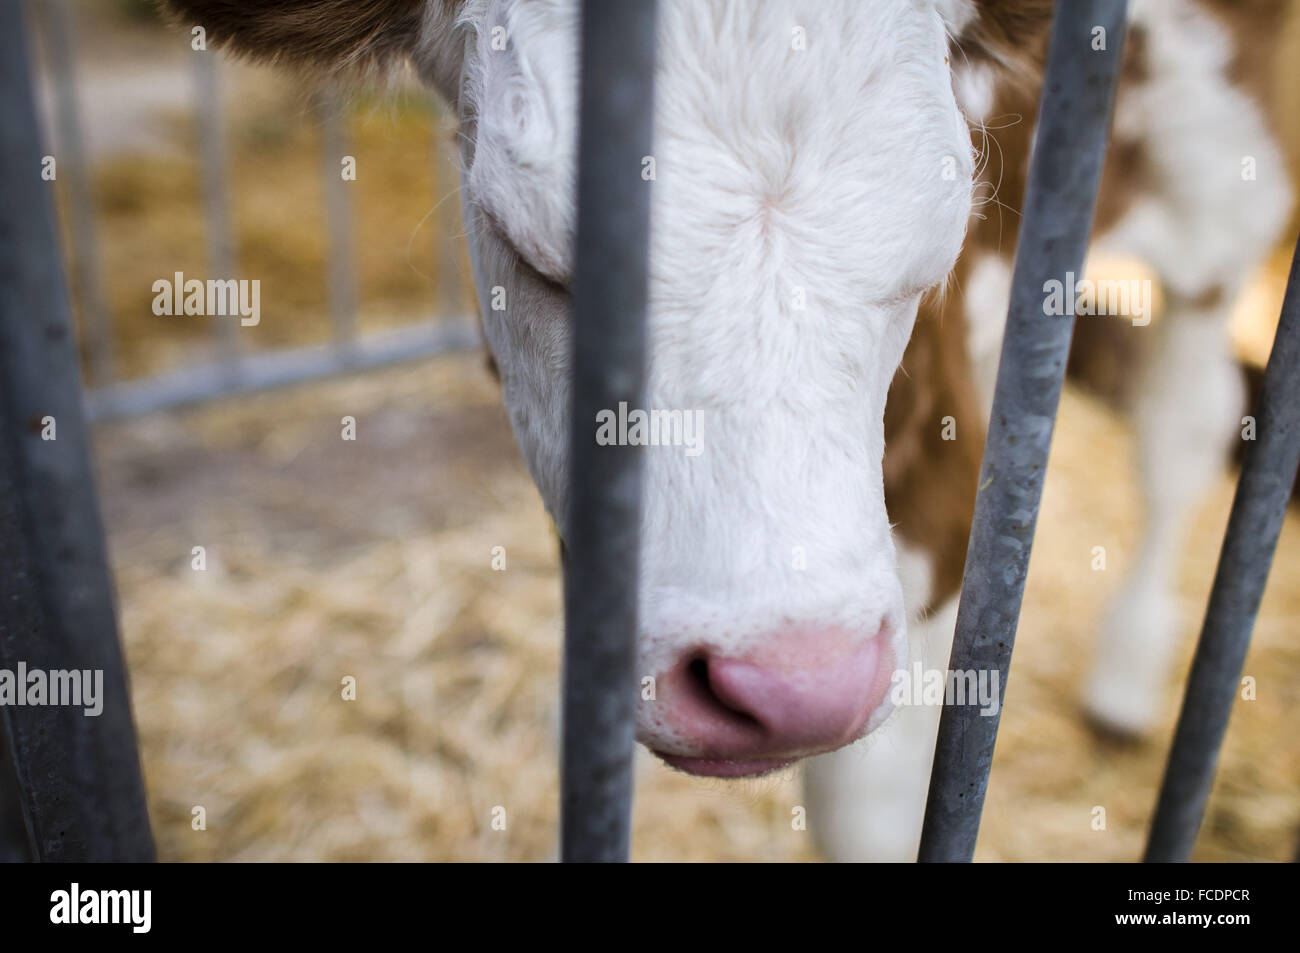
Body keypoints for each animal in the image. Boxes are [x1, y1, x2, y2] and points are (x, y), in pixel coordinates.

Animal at [162, 0, 1295, 861]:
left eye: (932, 248)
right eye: (537, 255)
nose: (791, 688)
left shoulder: (938, 507)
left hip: (1221, 188)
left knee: (1185, 428)